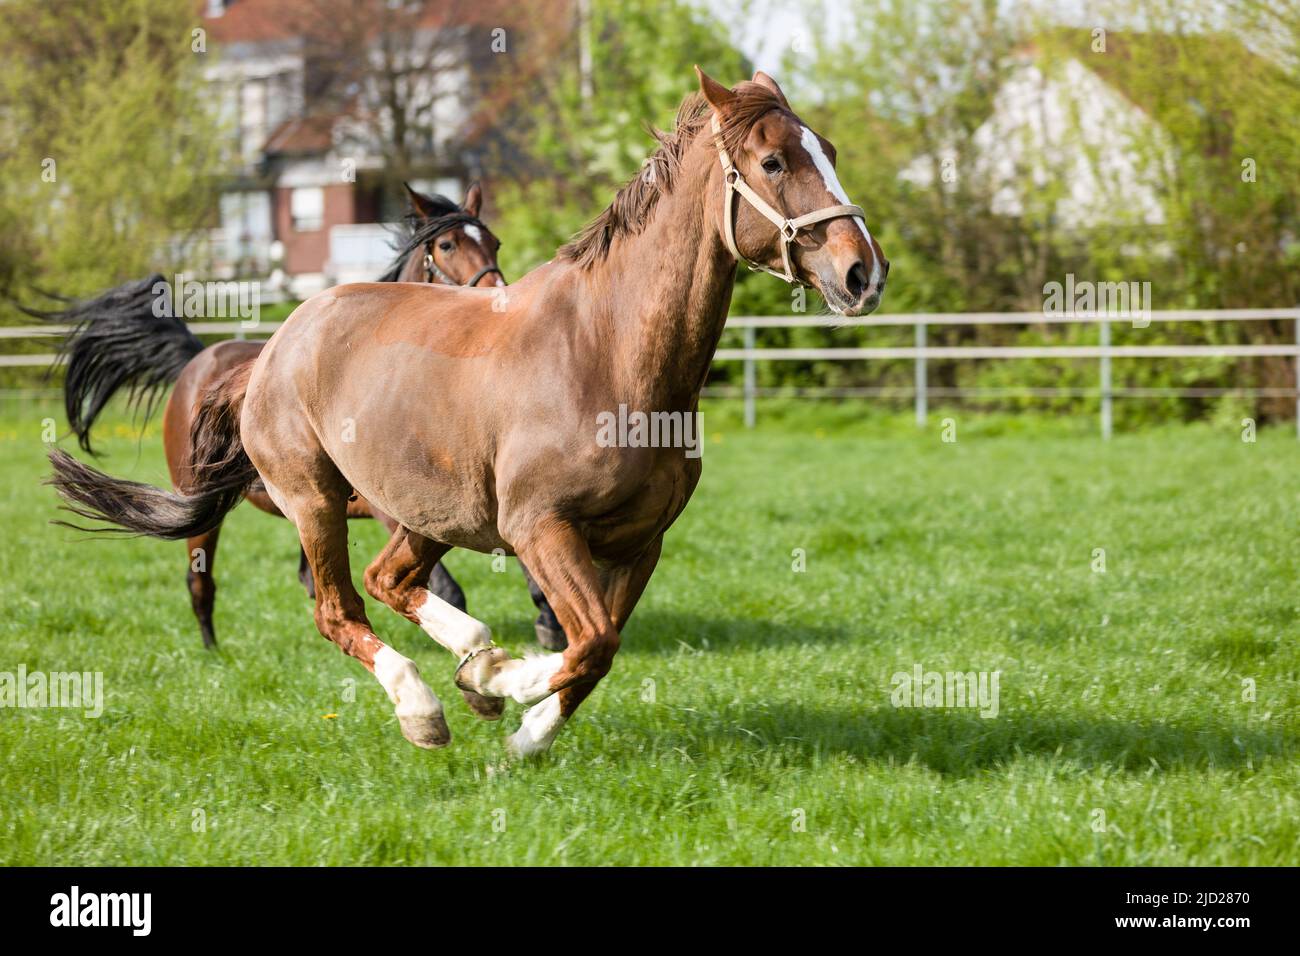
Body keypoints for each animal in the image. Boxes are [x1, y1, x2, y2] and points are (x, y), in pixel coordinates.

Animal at [32, 183, 566, 650]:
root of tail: (197, 361)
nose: (501, 298)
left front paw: (548, 624)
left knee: (309, 576)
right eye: (448, 244)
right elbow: (448, 587)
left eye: (493, 241)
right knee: (201, 580)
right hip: (204, 502)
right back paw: (213, 652)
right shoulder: (392, 508)